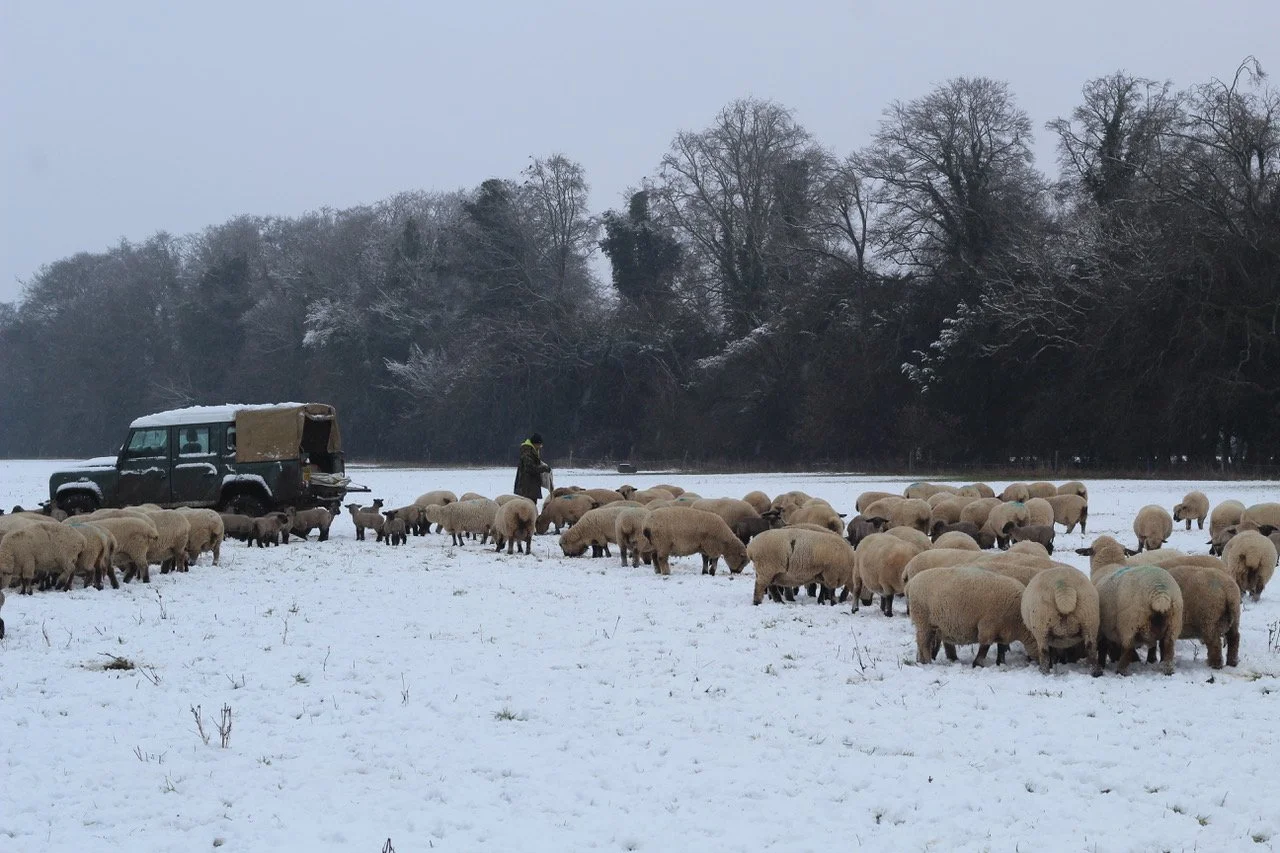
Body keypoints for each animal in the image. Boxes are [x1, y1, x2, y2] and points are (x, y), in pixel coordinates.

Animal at [906, 567, 1039, 666]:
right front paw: (977, 664)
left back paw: (921, 660)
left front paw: (1001, 663)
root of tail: (912, 582)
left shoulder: (1003, 630)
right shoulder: (988, 626)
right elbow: (984, 647)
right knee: (923, 642)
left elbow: (1001, 648)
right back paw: (928, 662)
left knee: (923, 642)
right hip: (923, 619)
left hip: (931, 624)